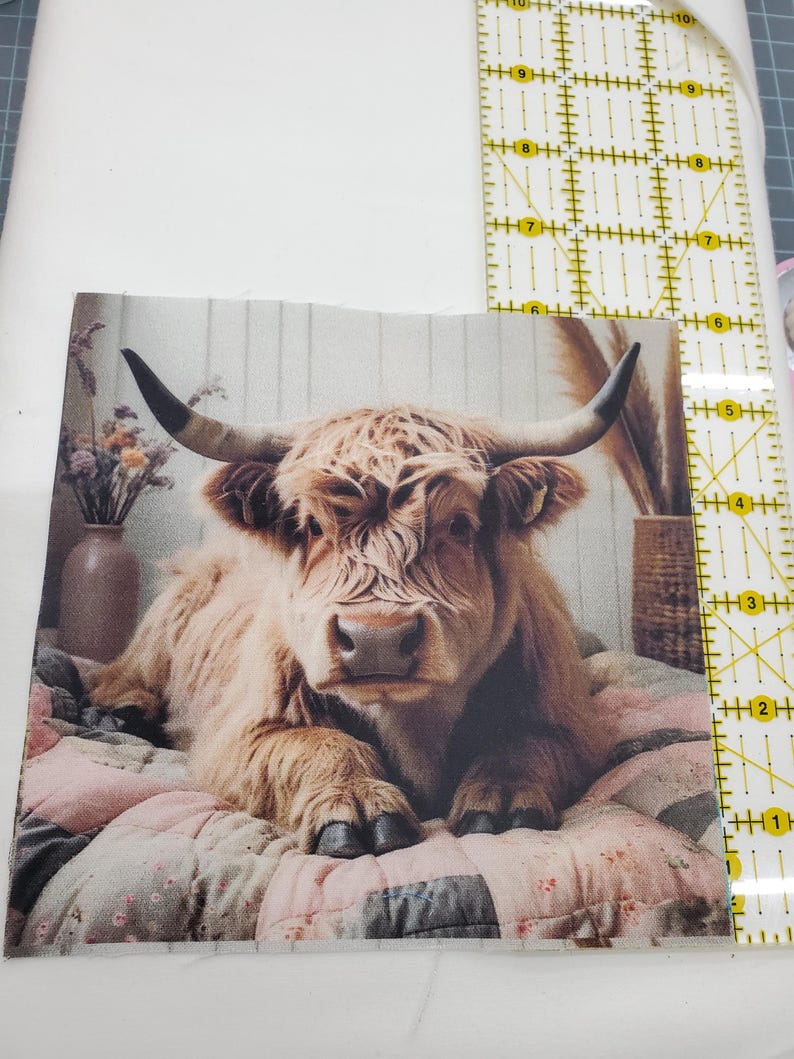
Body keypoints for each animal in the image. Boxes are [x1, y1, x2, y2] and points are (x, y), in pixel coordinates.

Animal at [91, 341, 640, 858]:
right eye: (313, 525)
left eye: (459, 525)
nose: (377, 638)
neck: (413, 726)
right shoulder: (239, 733)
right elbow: (320, 746)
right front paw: (355, 805)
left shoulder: (573, 725)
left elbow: (522, 744)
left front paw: (503, 801)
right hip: (163, 625)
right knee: (123, 672)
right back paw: (122, 711)